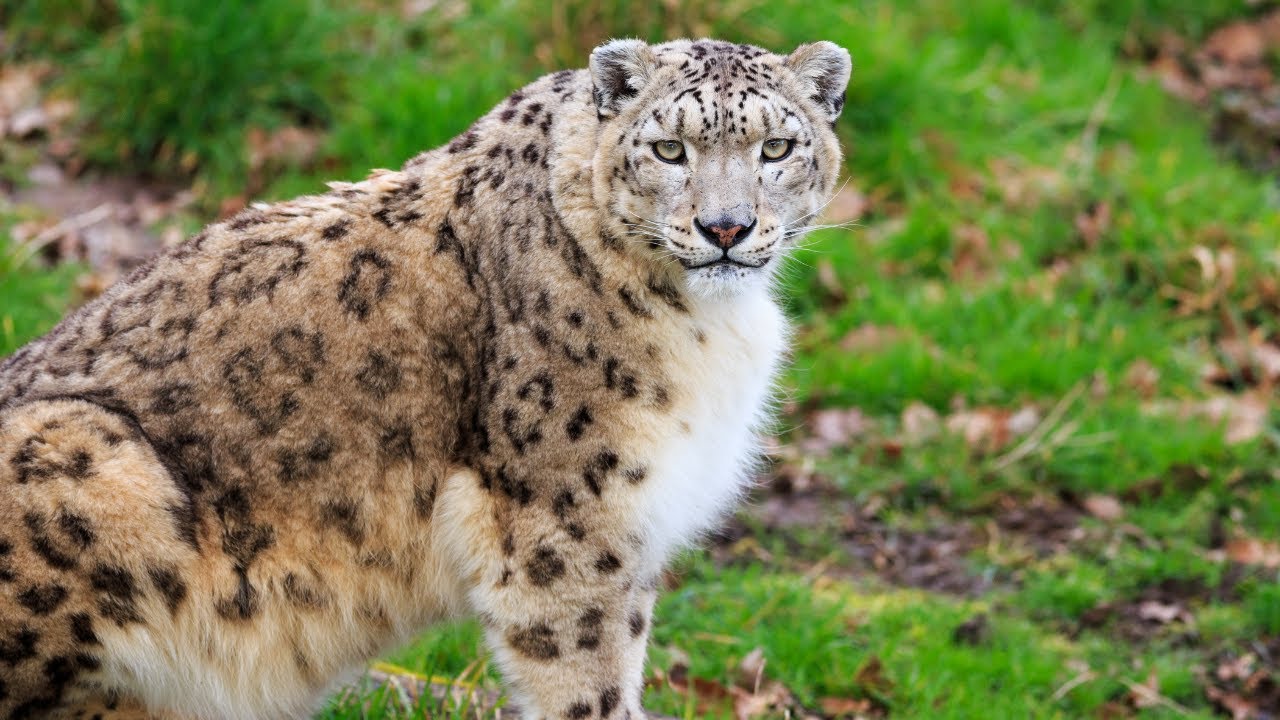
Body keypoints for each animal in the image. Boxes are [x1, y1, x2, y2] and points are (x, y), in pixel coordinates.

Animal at [0, 38, 850, 719]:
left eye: (777, 147)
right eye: (670, 150)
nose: (726, 227)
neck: (711, 324)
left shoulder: (636, 529)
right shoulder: (571, 521)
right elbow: (588, 678)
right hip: (91, 456)